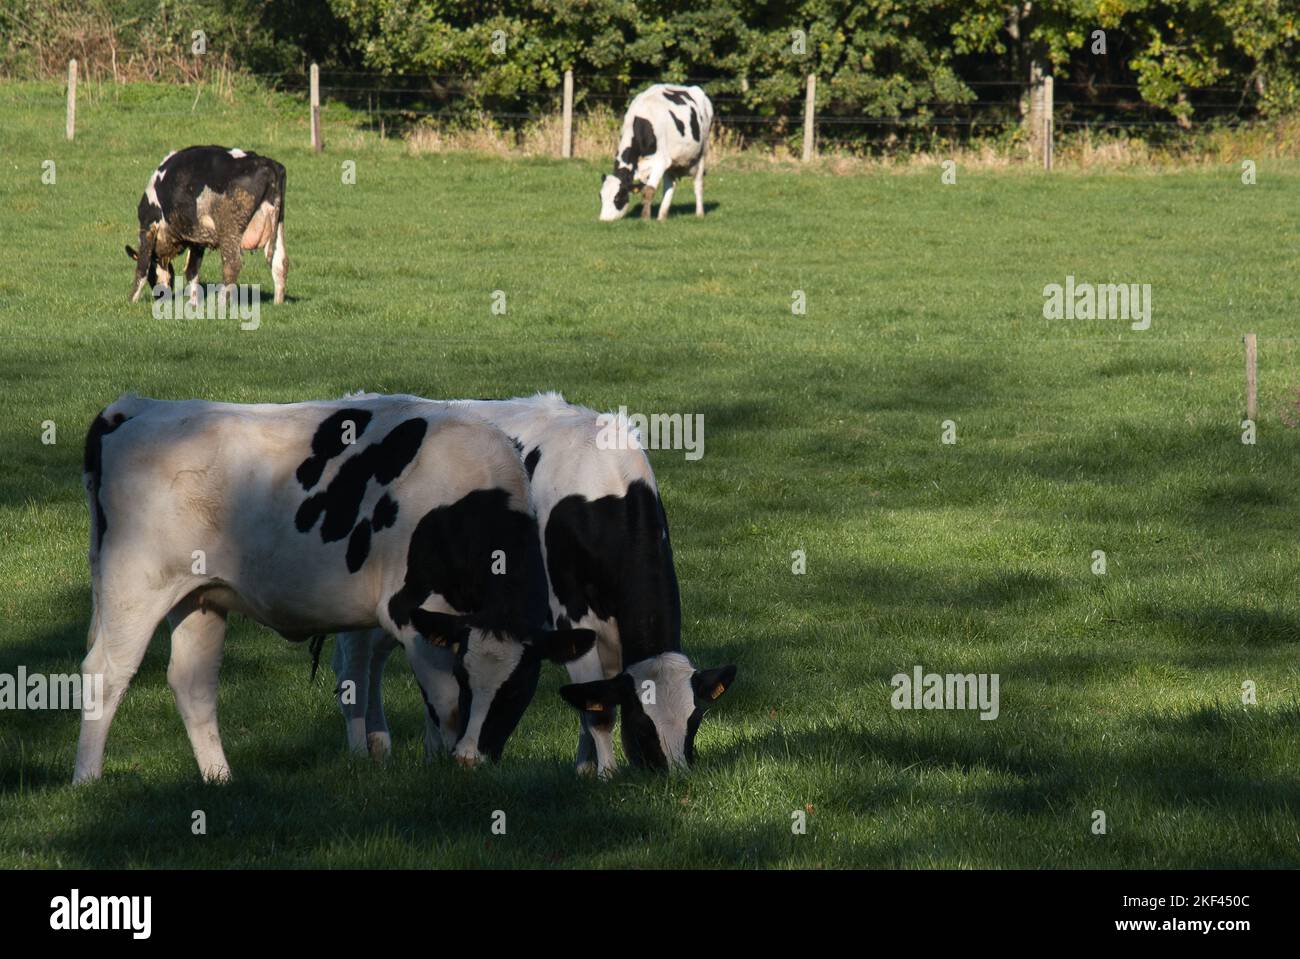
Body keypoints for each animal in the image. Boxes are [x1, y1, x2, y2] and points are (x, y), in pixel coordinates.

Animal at [73, 394, 596, 784]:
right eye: (472, 680)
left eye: (518, 686)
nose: (472, 761)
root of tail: (139, 406)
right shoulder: (411, 615)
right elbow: (444, 703)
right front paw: (444, 763)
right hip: (133, 585)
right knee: (105, 673)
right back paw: (88, 779)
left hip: (199, 597)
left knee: (192, 683)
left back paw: (220, 779)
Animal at [125, 145, 288, 307]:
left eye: (153, 276)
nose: (159, 295)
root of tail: (268, 164)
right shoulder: (196, 238)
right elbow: (191, 269)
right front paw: (193, 302)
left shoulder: (148, 226)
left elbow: (142, 267)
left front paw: (132, 299)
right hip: (278, 224)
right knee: (280, 263)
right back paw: (277, 302)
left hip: (230, 229)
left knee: (232, 265)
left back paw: (220, 303)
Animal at [334, 393, 737, 777]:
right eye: (642, 726)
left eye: (695, 722)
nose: (676, 777)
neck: (603, 493)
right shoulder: (571, 616)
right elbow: (597, 711)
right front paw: (605, 774)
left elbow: (591, 697)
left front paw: (584, 767)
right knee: (357, 663)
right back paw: (359, 750)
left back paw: (388, 747)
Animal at [599, 84, 714, 222]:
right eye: (600, 197)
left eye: (618, 197)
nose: (603, 220)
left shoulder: (660, 161)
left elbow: (648, 190)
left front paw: (645, 218)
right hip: (672, 162)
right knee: (670, 185)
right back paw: (661, 217)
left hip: (702, 152)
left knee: (698, 184)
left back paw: (699, 213)